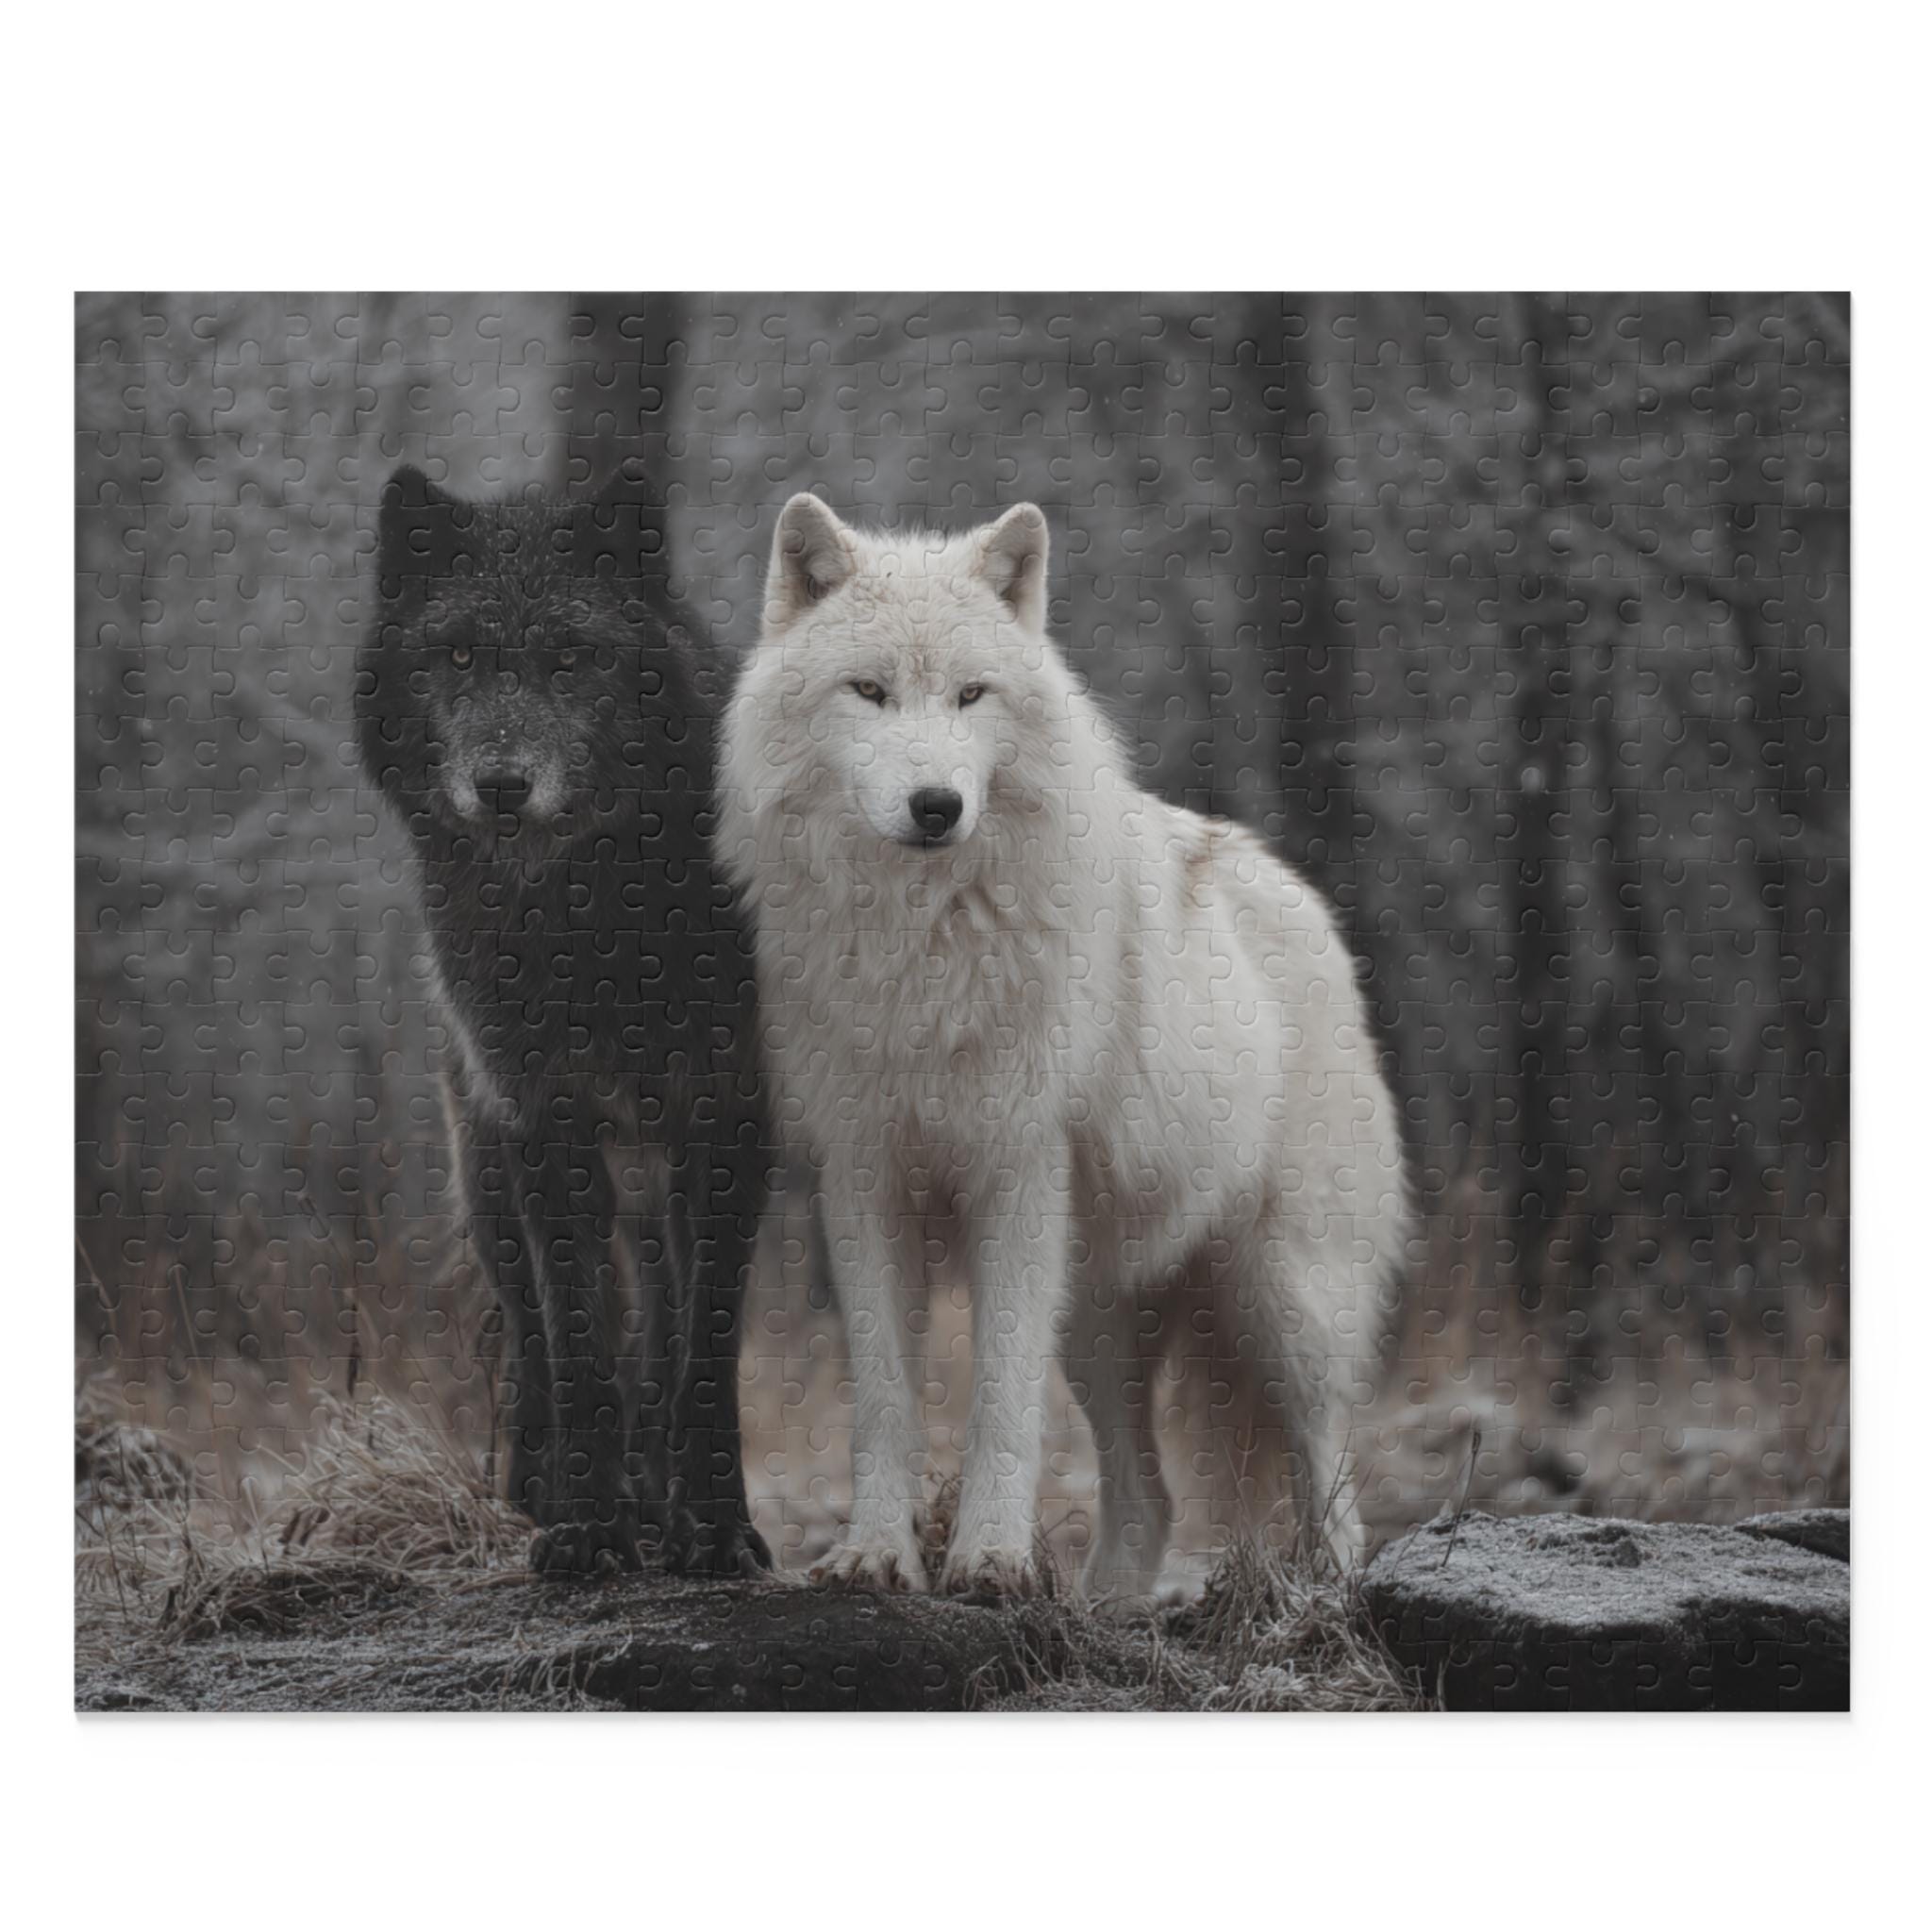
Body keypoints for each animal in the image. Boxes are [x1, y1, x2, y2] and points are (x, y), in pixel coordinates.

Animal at [357, 463, 770, 1578]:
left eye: (572, 656)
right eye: (458, 653)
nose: (501, 785)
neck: (595, 925)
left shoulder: (730, 1116)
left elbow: (703, 1351)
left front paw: (714, 1527)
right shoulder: (546, 1122)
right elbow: (579, 1339)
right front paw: (585, 1528)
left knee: (661, 1329)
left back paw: (657, 1504)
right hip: (490, 1177)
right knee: (539, 1341)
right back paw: (556, 1496)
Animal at [719, 494, 1411, 1601]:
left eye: (971, 694)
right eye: (869, 691)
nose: (936, 806)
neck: (922, 944)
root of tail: (1293, 885)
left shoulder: (1018, 1168)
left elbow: (1000, 1395)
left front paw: (993, 1560)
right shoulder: (864, 1176)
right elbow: (884, 1399)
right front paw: (873, 1555)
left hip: (1282, 1303)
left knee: (1331, 1476)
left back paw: (1320, 1595)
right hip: (1097, 1322)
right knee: (1151, 1499)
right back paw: (1105, 1607)